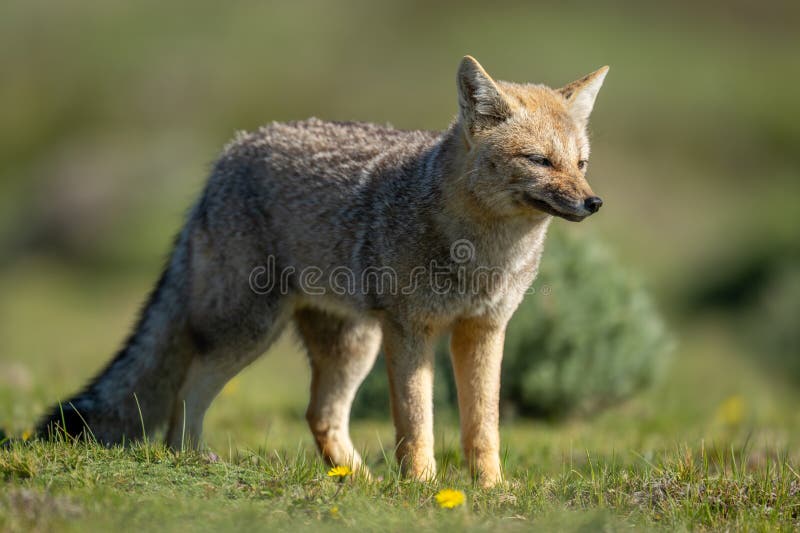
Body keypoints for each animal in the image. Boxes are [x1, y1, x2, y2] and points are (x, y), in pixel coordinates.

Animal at [37, 56, 608, 487]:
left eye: (580, 163)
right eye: (539, 161)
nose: (594, 203)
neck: (482, 253)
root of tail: (230, 152)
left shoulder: (484, 329)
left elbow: (482, 426)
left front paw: (490, 490)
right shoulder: (410, 329)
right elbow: (416, 422)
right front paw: (423, 488)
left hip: (352, 346)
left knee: (320, 415)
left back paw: (359, 483)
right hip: (249, 333)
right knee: (187, 389)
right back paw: (193, 462)